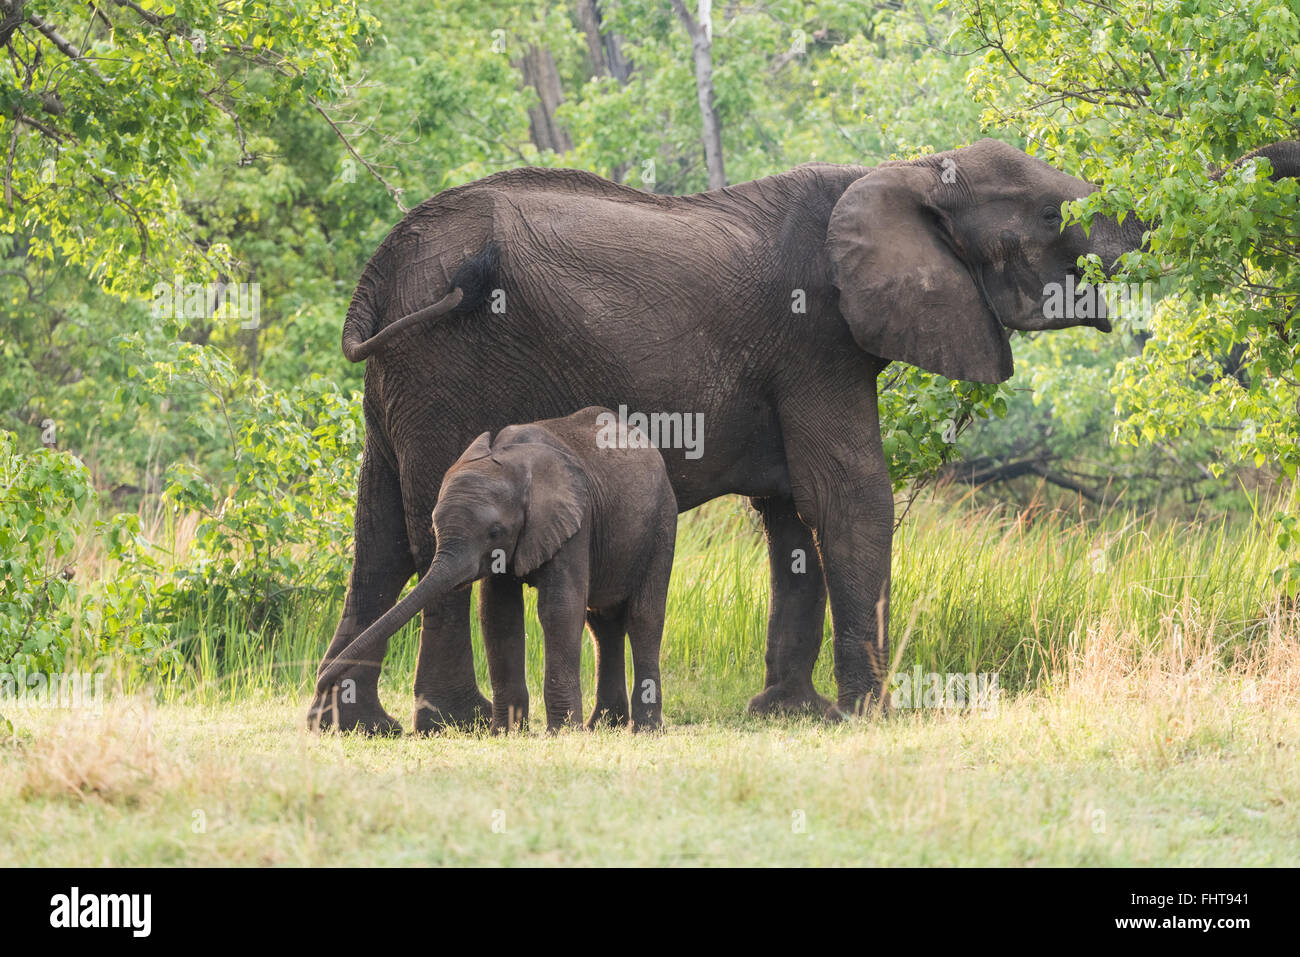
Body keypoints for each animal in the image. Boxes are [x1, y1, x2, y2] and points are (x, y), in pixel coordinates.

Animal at [311, 407, 677, 733]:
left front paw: (561, 733)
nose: (321, 683)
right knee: (602, 623)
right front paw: (505, 731)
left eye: (495, 532)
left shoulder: (576, 518)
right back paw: (603, 726)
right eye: (434, 526)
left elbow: (559, 608)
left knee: (644, 617)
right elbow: (499, 614)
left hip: (663, 522)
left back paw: (644, 730)